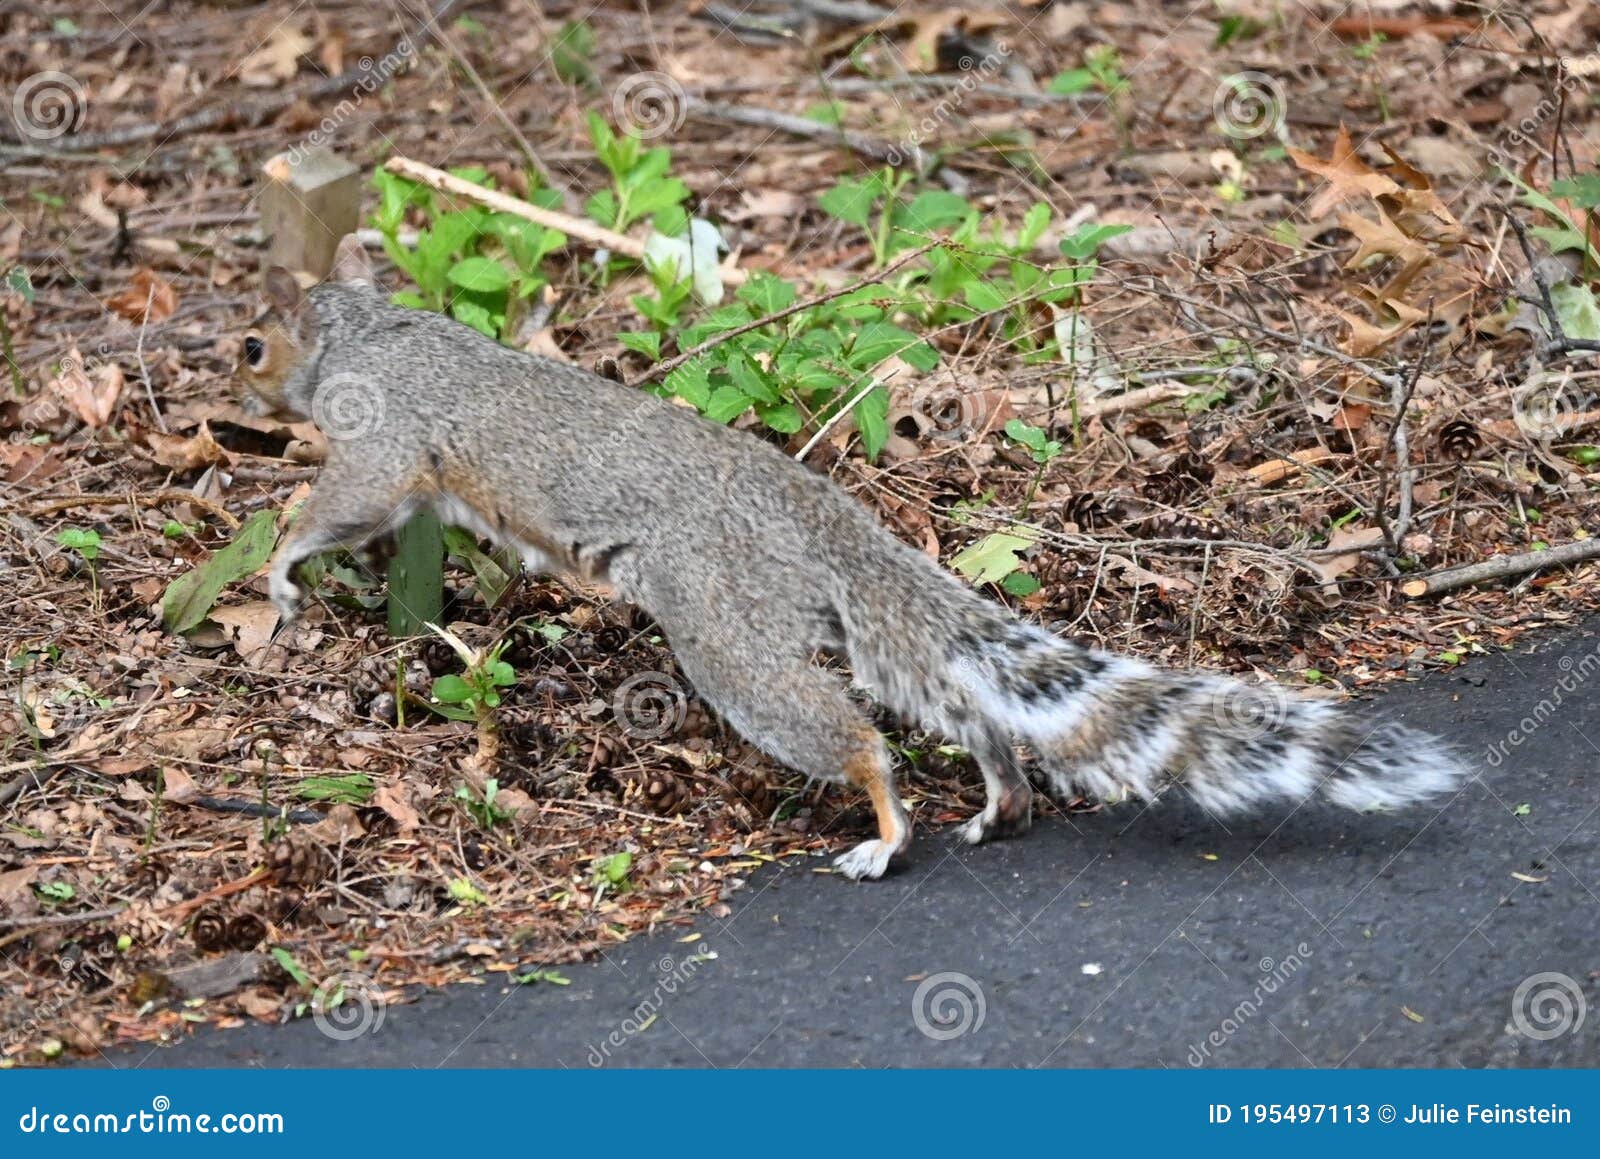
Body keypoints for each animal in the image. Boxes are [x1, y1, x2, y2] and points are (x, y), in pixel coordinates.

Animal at [238, 236, 1470, 880]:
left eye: (251, 343)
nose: (228, 387)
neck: (360, 332)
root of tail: (816, 513)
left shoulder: (380, 436)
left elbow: (344, 501)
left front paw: (280, 568)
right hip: (805, 618)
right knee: (967, 708)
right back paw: (999, 802)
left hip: (725, 623)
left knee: (854, 735)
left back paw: (886, 834)